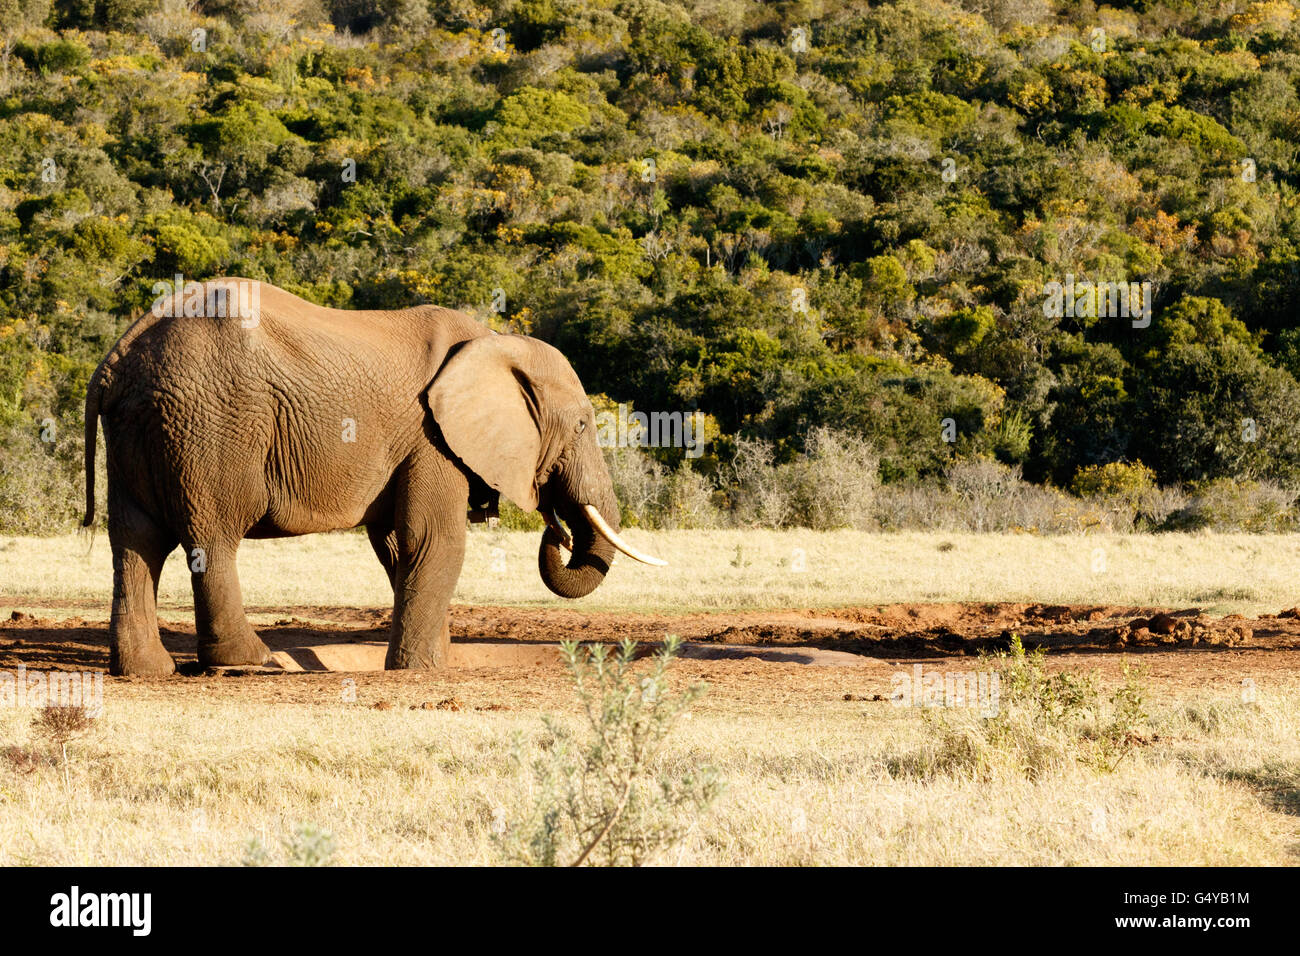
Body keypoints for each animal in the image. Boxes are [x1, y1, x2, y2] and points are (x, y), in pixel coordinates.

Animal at [82, 278, 665, 676]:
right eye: (583, 425)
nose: (557, 530)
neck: (493, 342)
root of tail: (116, 357)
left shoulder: (415, 444)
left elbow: (397, 547)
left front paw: (435, 660)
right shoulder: (433, 438)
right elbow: (435, 539)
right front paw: (419, 670)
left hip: (143, 425)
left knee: (135, 542)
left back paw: (146, 670)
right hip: (212, 422)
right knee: (212, 536)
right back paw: (252, 662)